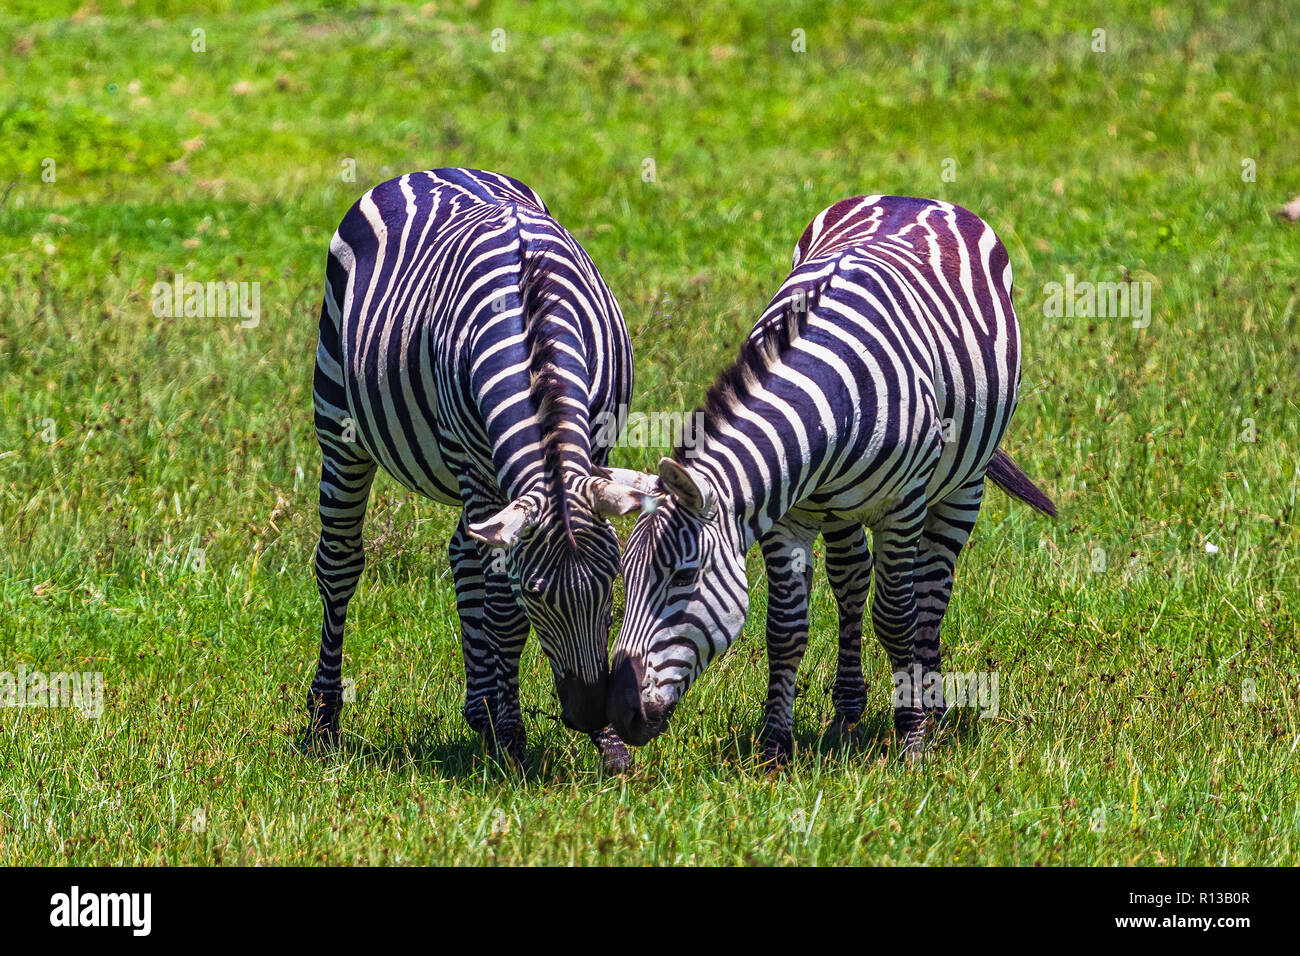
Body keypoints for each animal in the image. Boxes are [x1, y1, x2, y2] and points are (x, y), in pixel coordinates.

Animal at [305, 168, 647, 770]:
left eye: (612, 585)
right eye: (535, 596)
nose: (588, 716)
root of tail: (429, 171)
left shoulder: (596, 453)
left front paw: (607, 748)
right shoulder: (479, 467)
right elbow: (500, 609)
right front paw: (510, 739)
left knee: (463, 555)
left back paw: (480, 709)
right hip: (340, 424)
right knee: (340, 564)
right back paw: (324, 726)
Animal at [604, 195, 1056, 762]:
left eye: (683, 577)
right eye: (625, 580)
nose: (622, 712)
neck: (828, 399)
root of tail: (914, 198)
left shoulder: (900, 507)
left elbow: (896, 617)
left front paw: (913, 741)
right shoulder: (787, 515)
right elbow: (784, 628)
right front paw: (774, 747)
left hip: (963, 483)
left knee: (932, 589)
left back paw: (932, 711)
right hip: (838, 506)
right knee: (851, 579)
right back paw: (847, 711)